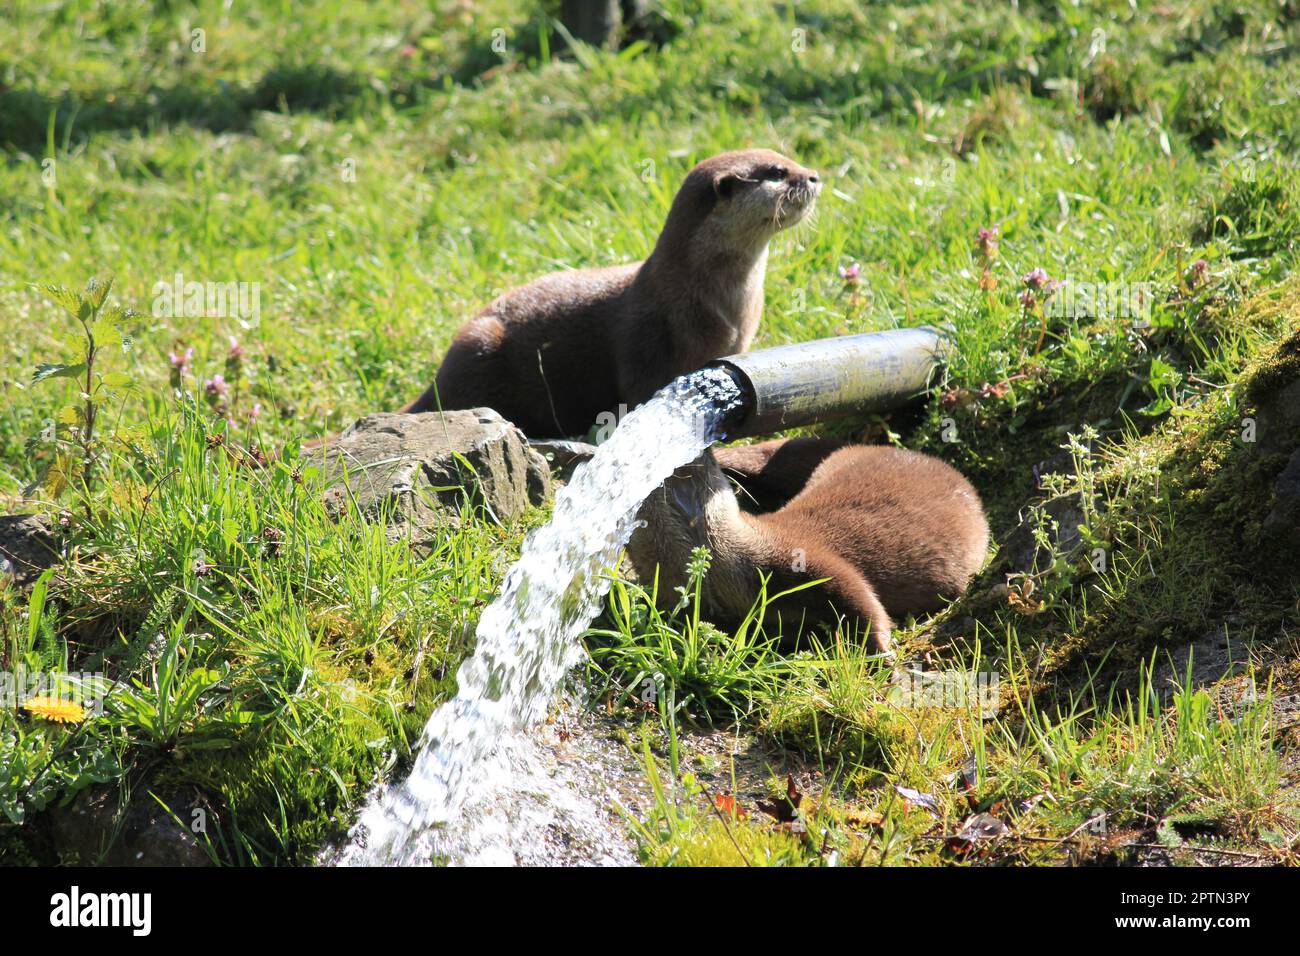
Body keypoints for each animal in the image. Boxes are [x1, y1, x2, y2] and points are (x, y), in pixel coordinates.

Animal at [404, 149, 821, 437]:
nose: (814, 176)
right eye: (777, 172)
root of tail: (437, 380)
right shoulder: (646, 343)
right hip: (479, 348)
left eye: (786, 157)